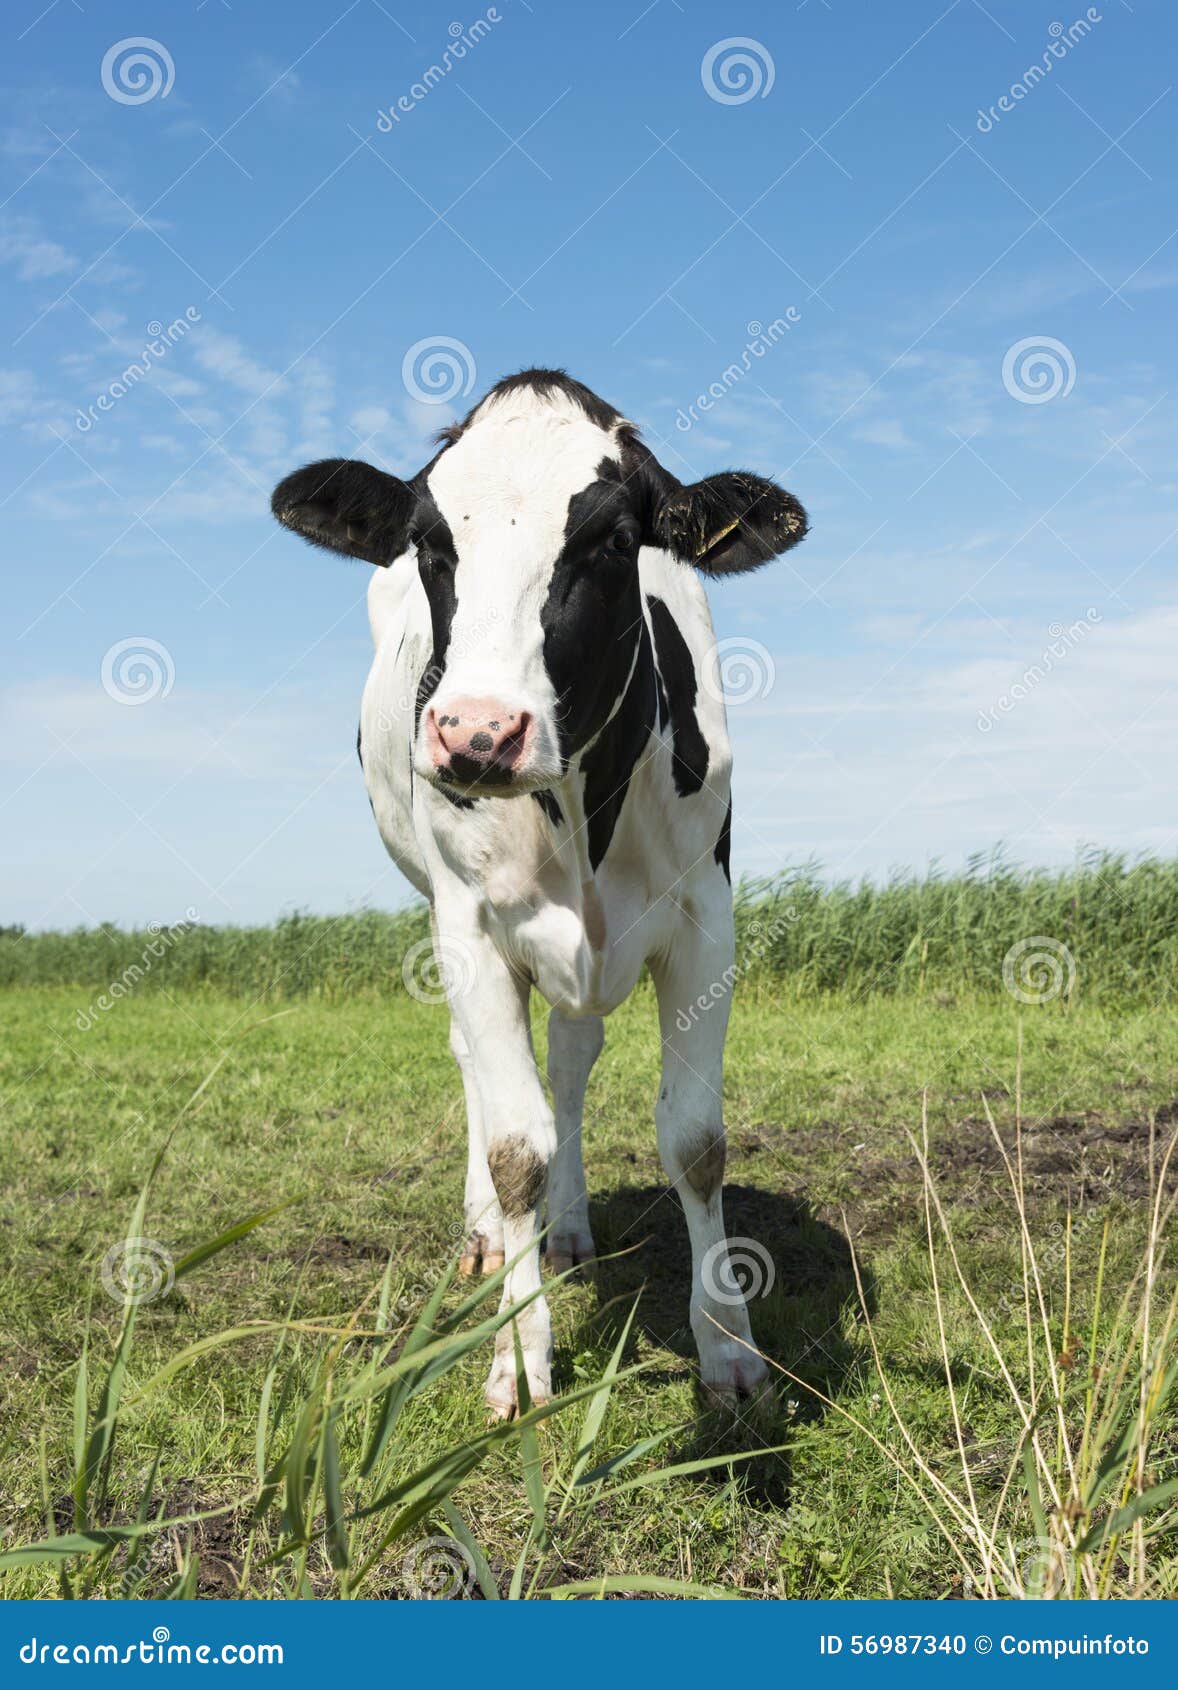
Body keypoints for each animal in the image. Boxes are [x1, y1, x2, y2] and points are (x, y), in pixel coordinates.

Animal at [271, 369, 807, 1418]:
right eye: (432, 542)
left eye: (611, 539)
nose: (477, 733)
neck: (581, 810)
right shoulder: (471, 927)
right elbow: (517, 1145)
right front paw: (520, 1356)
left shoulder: (707, 921)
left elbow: (696, 1139)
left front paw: (729, 1348)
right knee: (480, 1072)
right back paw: (488, 1235)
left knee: (569, 1059)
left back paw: (566, 1230)